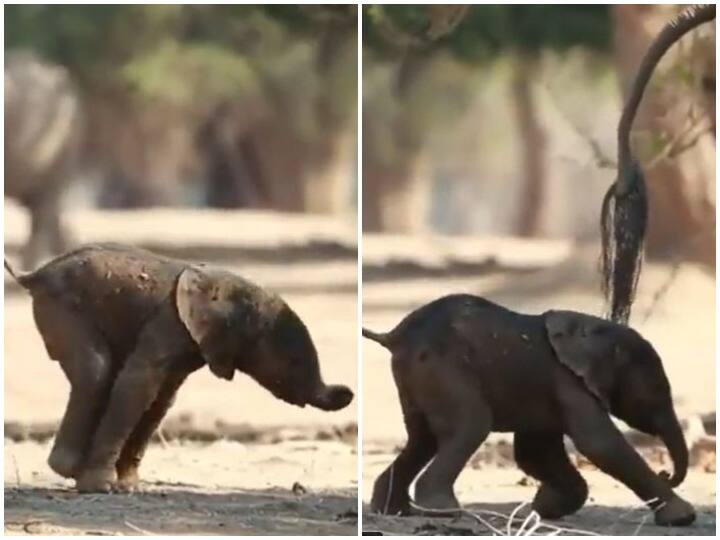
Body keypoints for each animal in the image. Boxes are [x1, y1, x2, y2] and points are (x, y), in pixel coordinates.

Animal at [4, 243, 354, 493]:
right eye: (294, 362)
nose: (348, 390)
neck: (229, 289)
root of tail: (35, 273)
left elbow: (161, 398)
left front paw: (129, 488)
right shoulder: (168, 322)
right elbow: (139, 383)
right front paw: (103, 488)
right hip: (62, 308)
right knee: (97, 371)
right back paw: (68, 469)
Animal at [362, 294, 694, 527]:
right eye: (656, 392)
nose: (667, 473)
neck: (596, 329)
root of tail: (393, 335)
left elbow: (536, 451)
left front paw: (544, 508)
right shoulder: (569, 381)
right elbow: (600, 444)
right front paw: (682, 518)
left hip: (418, 378)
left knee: (422, 439)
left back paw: (394, 511)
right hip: (444, 370)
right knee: (471, 426)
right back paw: (445, 512)